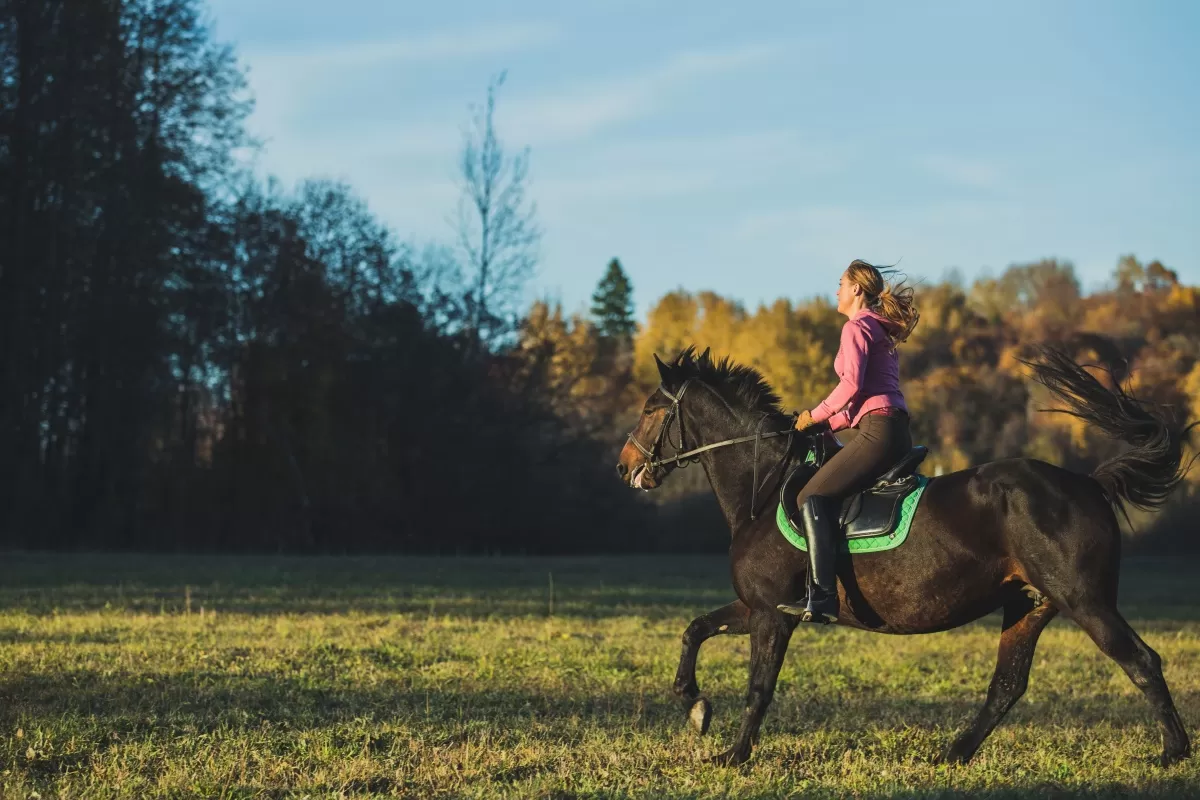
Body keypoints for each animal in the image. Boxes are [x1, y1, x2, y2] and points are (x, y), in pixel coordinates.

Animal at [614, 345, 1195, 767]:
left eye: (650, 409)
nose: (624, 468)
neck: (766, 485)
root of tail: (1089, 484)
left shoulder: (771, 615)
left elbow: (759, 687)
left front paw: (732, 757)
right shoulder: (757, 605)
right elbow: (694, 629)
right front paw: (696, 709)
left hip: (1085, 601)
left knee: (1142, 661)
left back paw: (1173, 753)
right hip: (1030, 604)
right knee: (1007, 685)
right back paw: (954, 753)